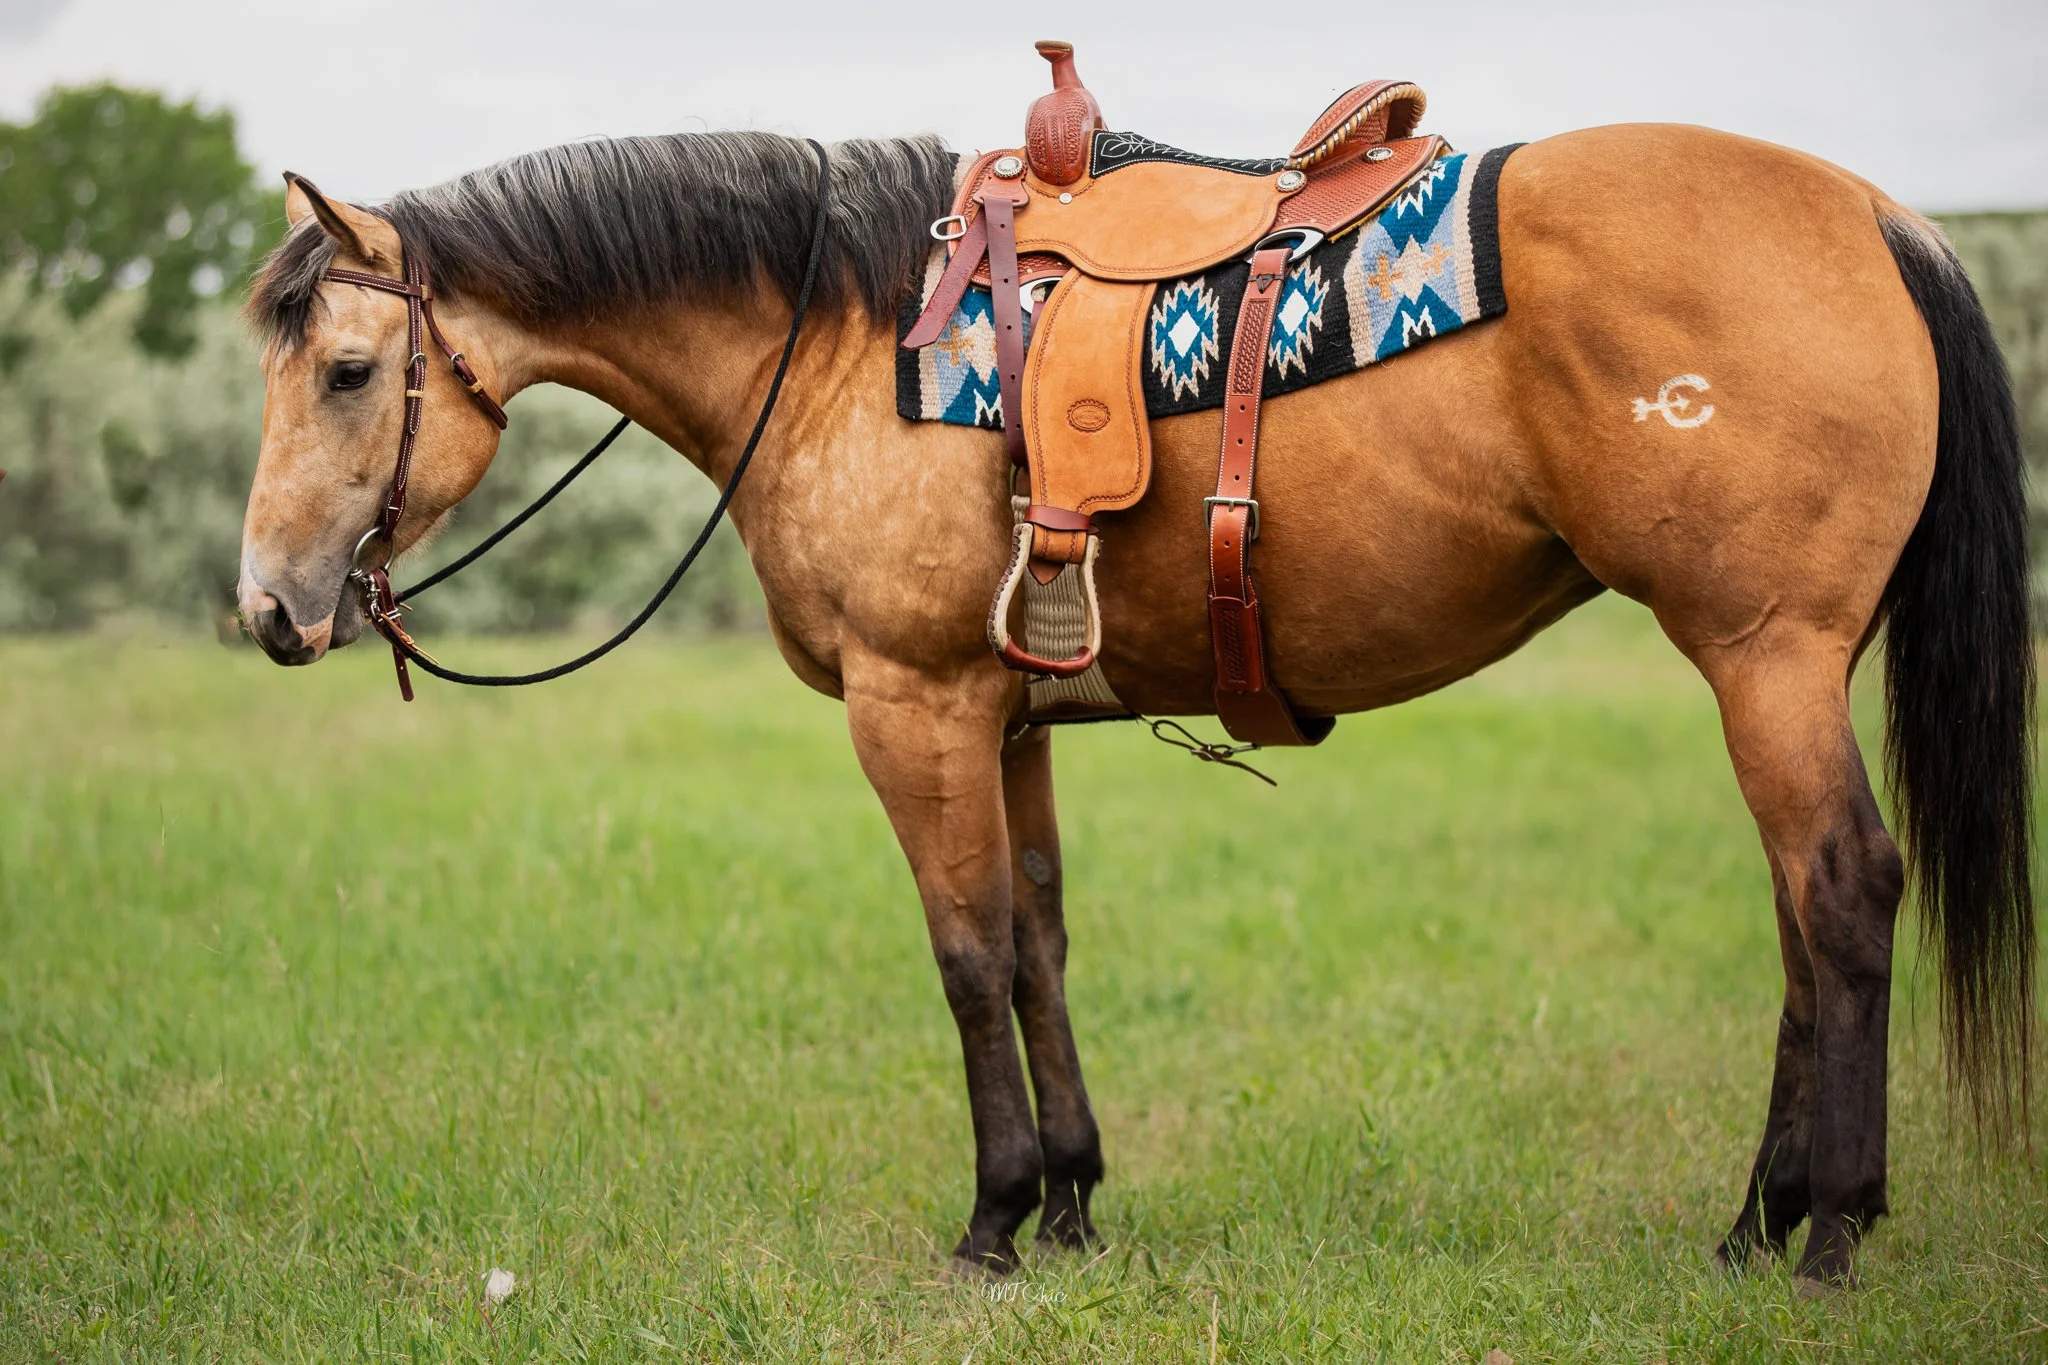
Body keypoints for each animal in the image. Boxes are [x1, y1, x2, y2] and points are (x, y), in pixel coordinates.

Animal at [234, 119, 2033, 1289]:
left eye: (345, 371)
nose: (265, 606)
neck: (841, 342)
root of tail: (1881, 215)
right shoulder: (1010, 717)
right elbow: (1036, 940)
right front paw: (1075, 1205)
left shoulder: (912, 712)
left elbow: (964, 955)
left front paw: (991, 1219)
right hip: (1776, 666)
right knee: (1801, 917)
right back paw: (1750, 1223)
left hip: (1764, 655)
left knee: (1841, 894)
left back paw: (1830, 1226)